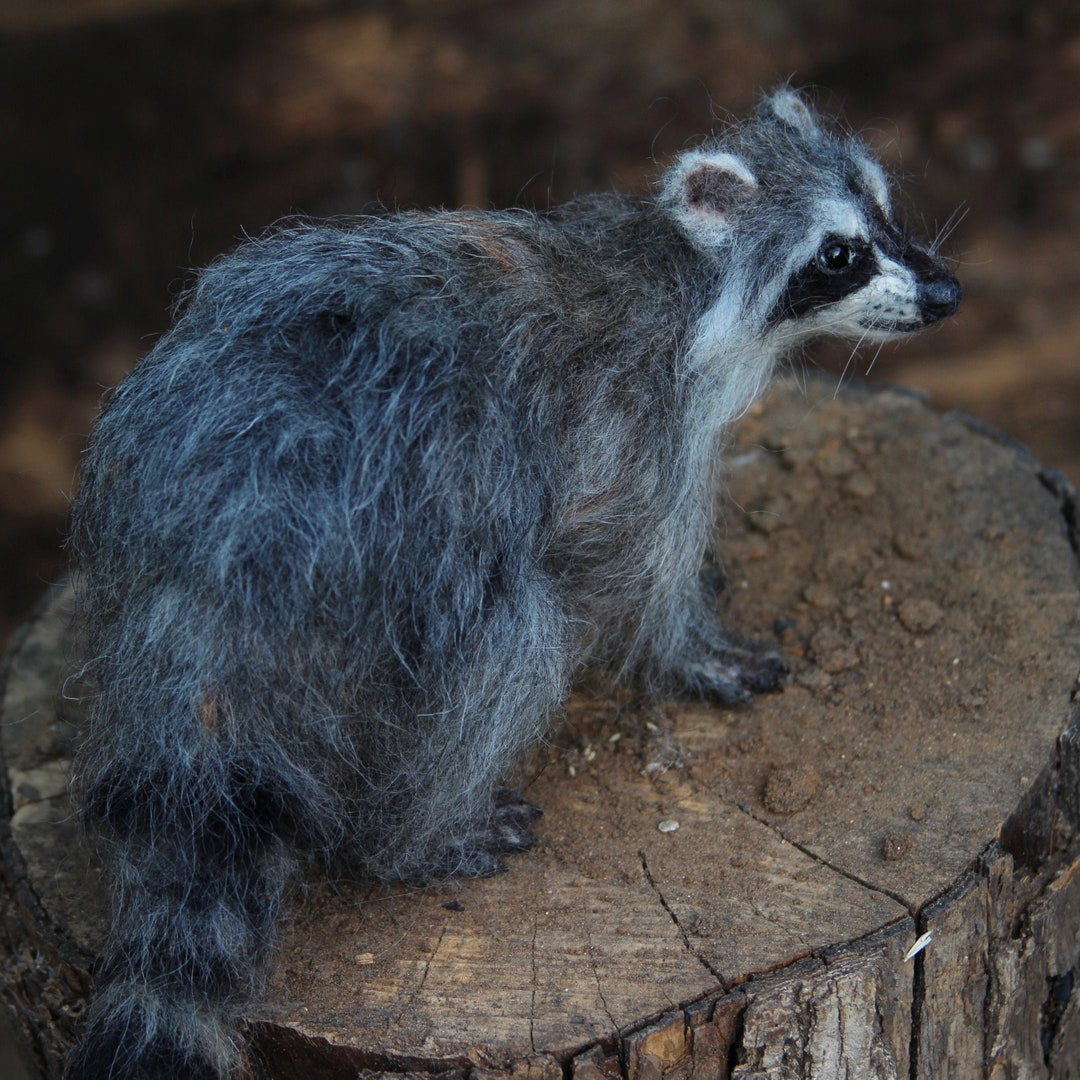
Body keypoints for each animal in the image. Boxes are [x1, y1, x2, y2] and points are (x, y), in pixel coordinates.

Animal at [65, 88, 959, 1078]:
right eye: (841, 253)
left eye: (887, 213)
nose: (946, 292)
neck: (692, 275)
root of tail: (209, 553)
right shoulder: (633, 413)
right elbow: (632, 561)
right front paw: (689, 642)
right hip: (397, 556)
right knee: (510, 640)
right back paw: (417, 830)